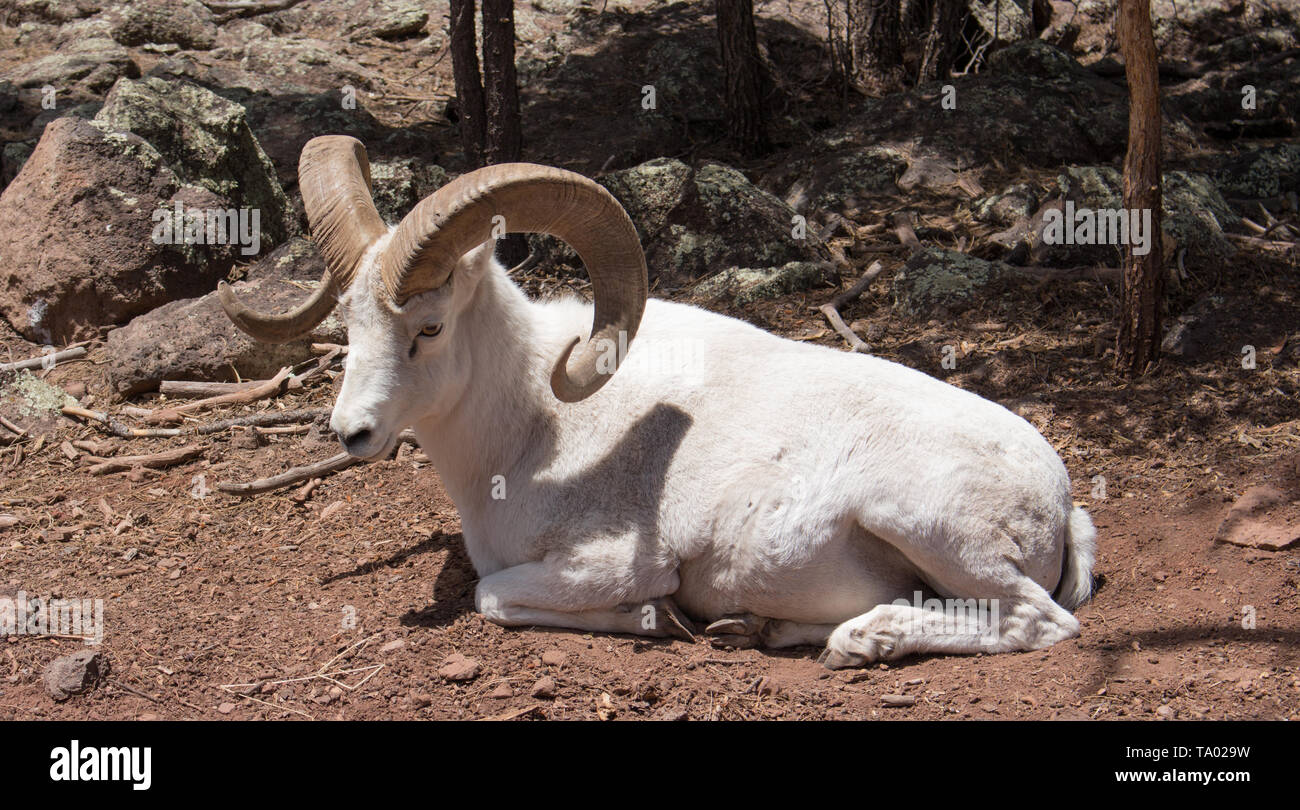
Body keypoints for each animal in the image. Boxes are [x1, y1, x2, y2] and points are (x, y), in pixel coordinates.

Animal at [220, 135, 1097, 667]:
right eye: (349, 321)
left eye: (428, 327)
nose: (351, 432)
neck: (533, 430)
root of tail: (1057, 503)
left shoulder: (605, 565)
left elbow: (492, 597)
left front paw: (661, 619)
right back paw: (763, 627)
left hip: (929, 526)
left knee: (1037, 622)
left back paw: (862, 639)